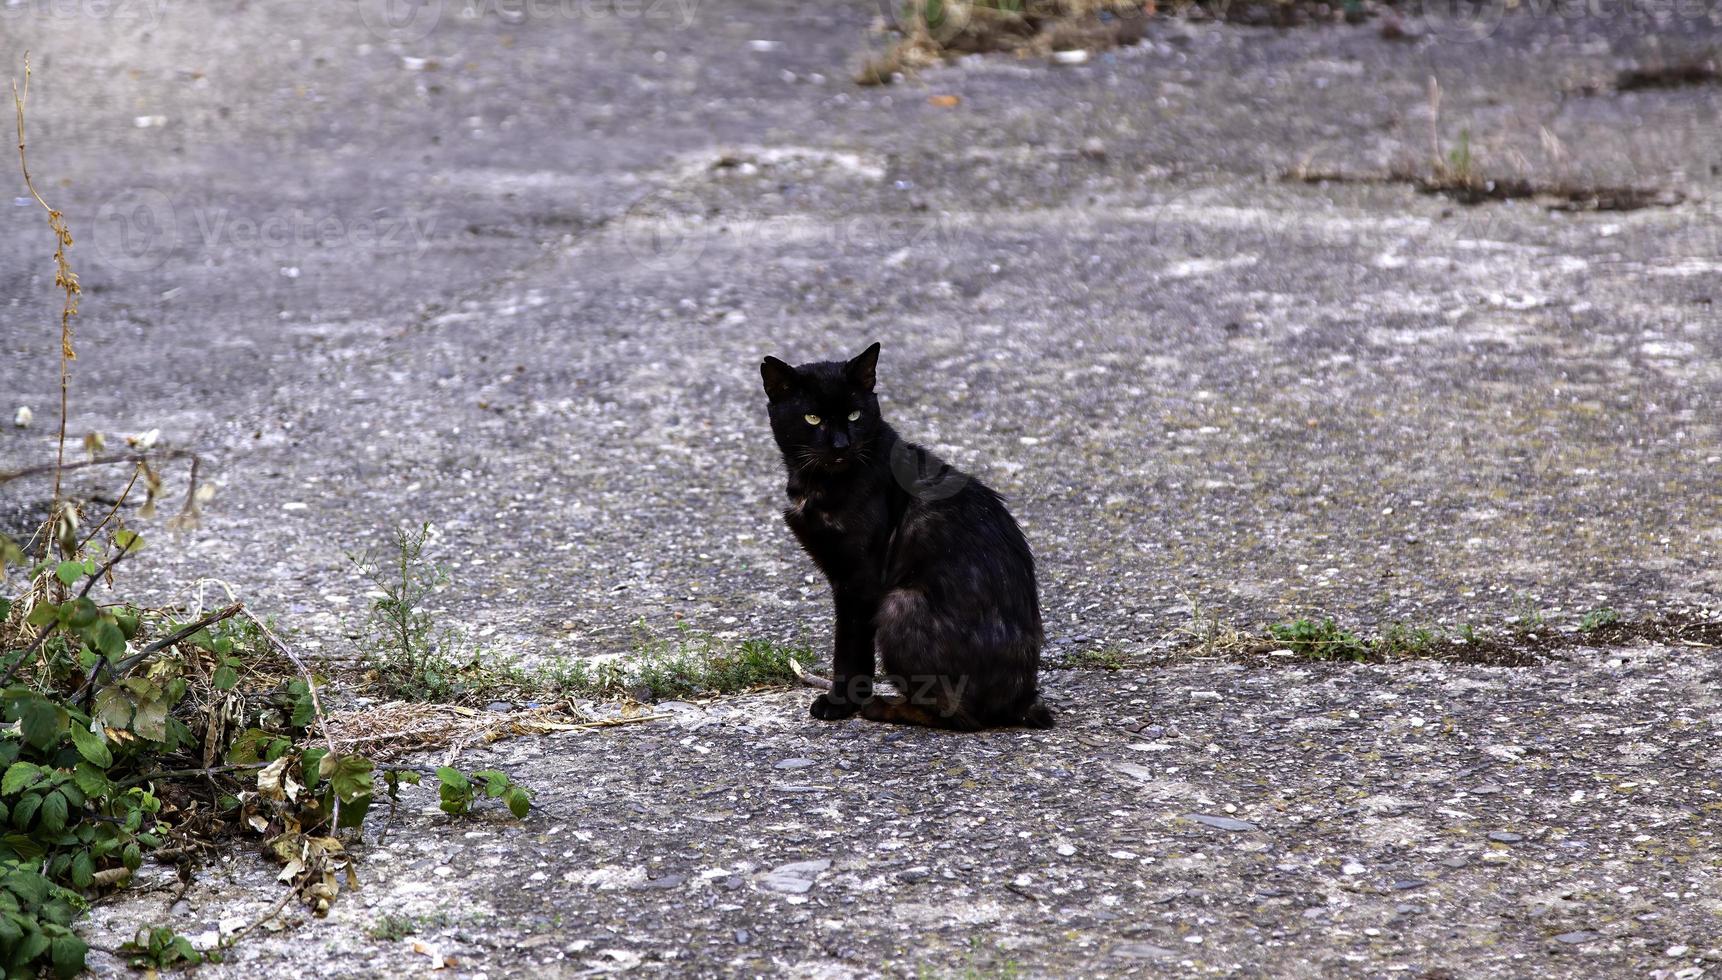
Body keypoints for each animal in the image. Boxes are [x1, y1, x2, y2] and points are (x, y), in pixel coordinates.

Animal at [764, 339, 1053, 730]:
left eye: (854, 415)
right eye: (813, 418)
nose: (840, 445)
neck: (818, 482)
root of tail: (1021, 700)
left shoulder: (859, 583)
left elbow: (850, 649)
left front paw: (840, 704)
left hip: (899, 604)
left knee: (960, 716)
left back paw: (882, 707)